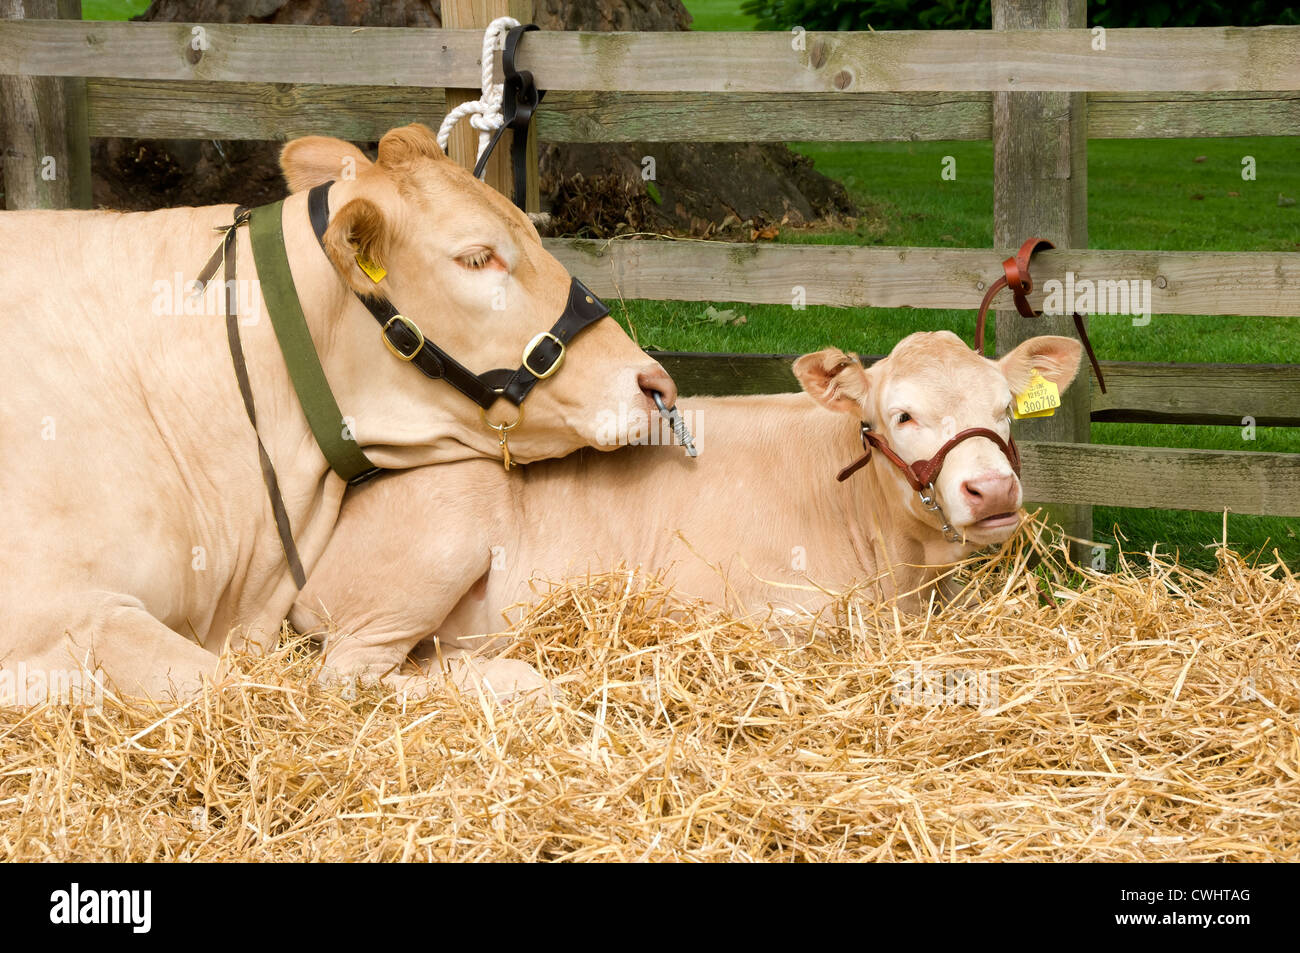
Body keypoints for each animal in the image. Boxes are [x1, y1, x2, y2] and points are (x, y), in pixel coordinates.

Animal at [294, 331, 1084, 698]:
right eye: (903, 415)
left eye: (1005, 407)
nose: (993, 490)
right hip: (425, 563)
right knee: (349, 673)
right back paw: (516, 681)